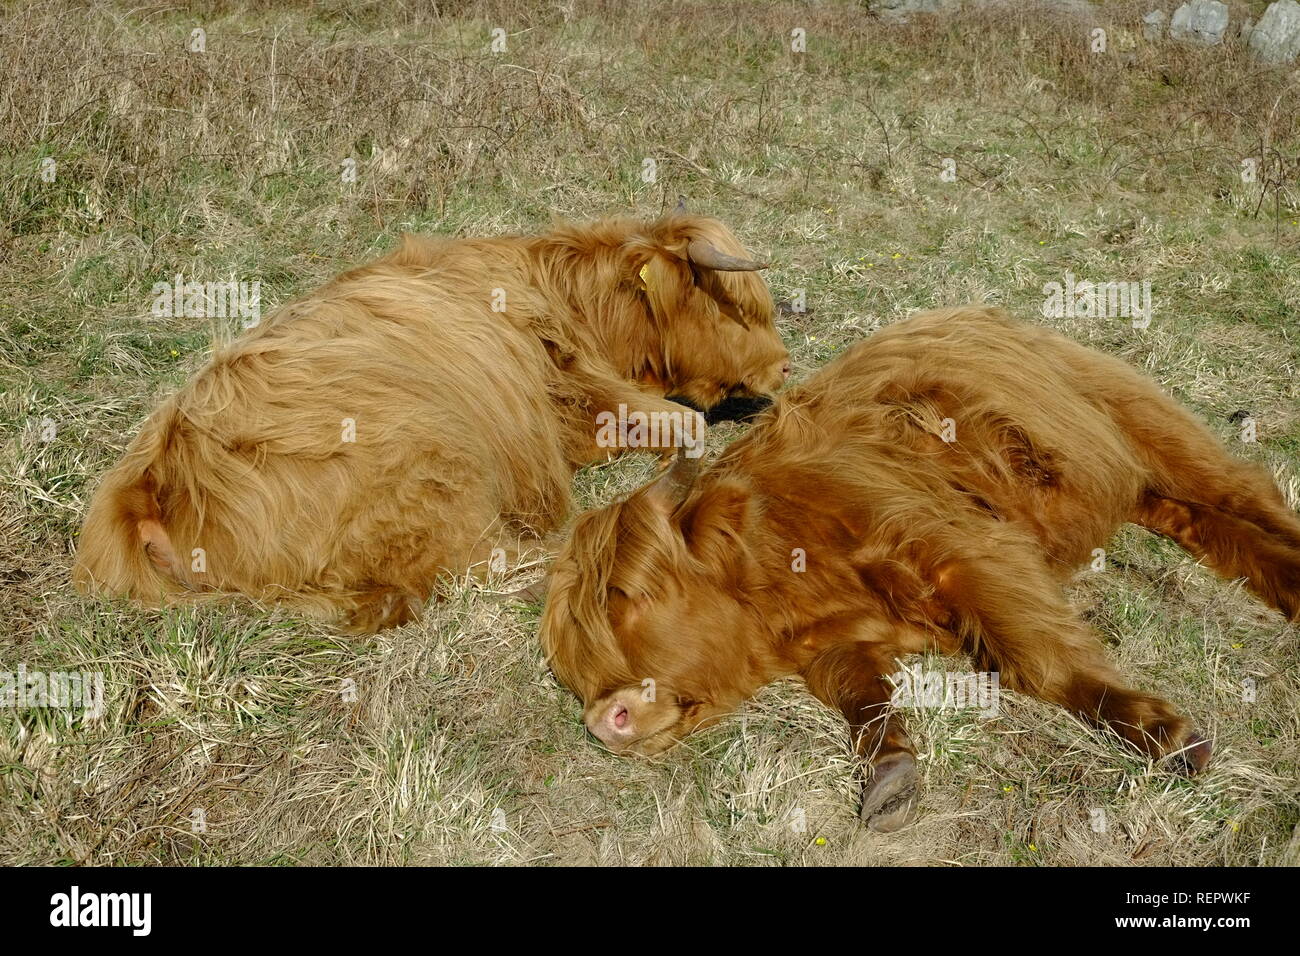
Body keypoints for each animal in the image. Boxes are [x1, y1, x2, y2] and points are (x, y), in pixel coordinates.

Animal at [73, 213, 791, 633]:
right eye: (730, 305)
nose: (784, 368)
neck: (568, 295)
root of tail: (145, 484)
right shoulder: (581, 393)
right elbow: (689, 427)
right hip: (433, 472)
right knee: (491, 565)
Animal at [540, 305, 1300, 831]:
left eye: (631, 593)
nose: (604, 720)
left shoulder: (963, 551)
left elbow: (1041, 658)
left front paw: (1162, 734)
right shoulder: (842, 646)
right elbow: (862, 699)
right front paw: (890, 774)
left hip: (1150, 424)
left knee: (1245, 492)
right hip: (1133, 483)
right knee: (1207, 524)